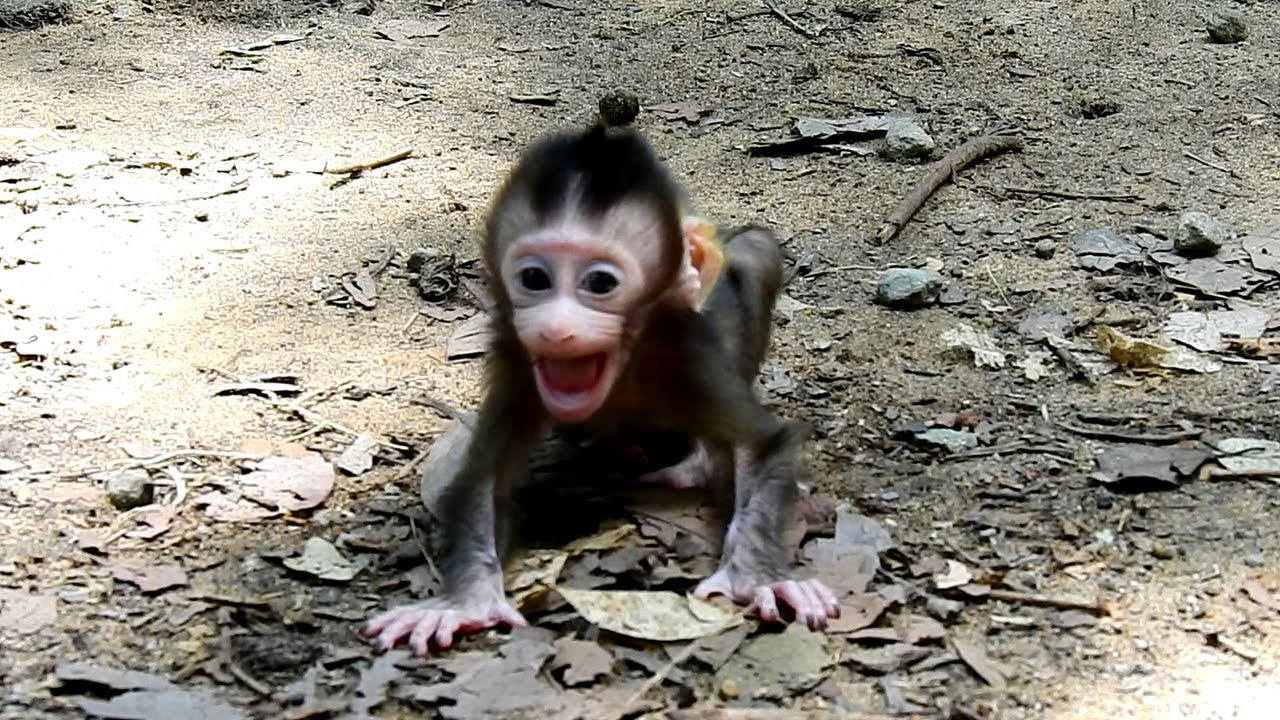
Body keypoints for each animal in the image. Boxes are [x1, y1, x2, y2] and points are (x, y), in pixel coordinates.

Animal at [362, 120, 840, 656]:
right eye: (534, 278)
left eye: (600, 283)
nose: (556, 330)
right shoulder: (515, 358)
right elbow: (485, 471)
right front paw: (466, 602)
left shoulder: (686, 355)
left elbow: (762, 444)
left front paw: (755, 577)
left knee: (756, 253)